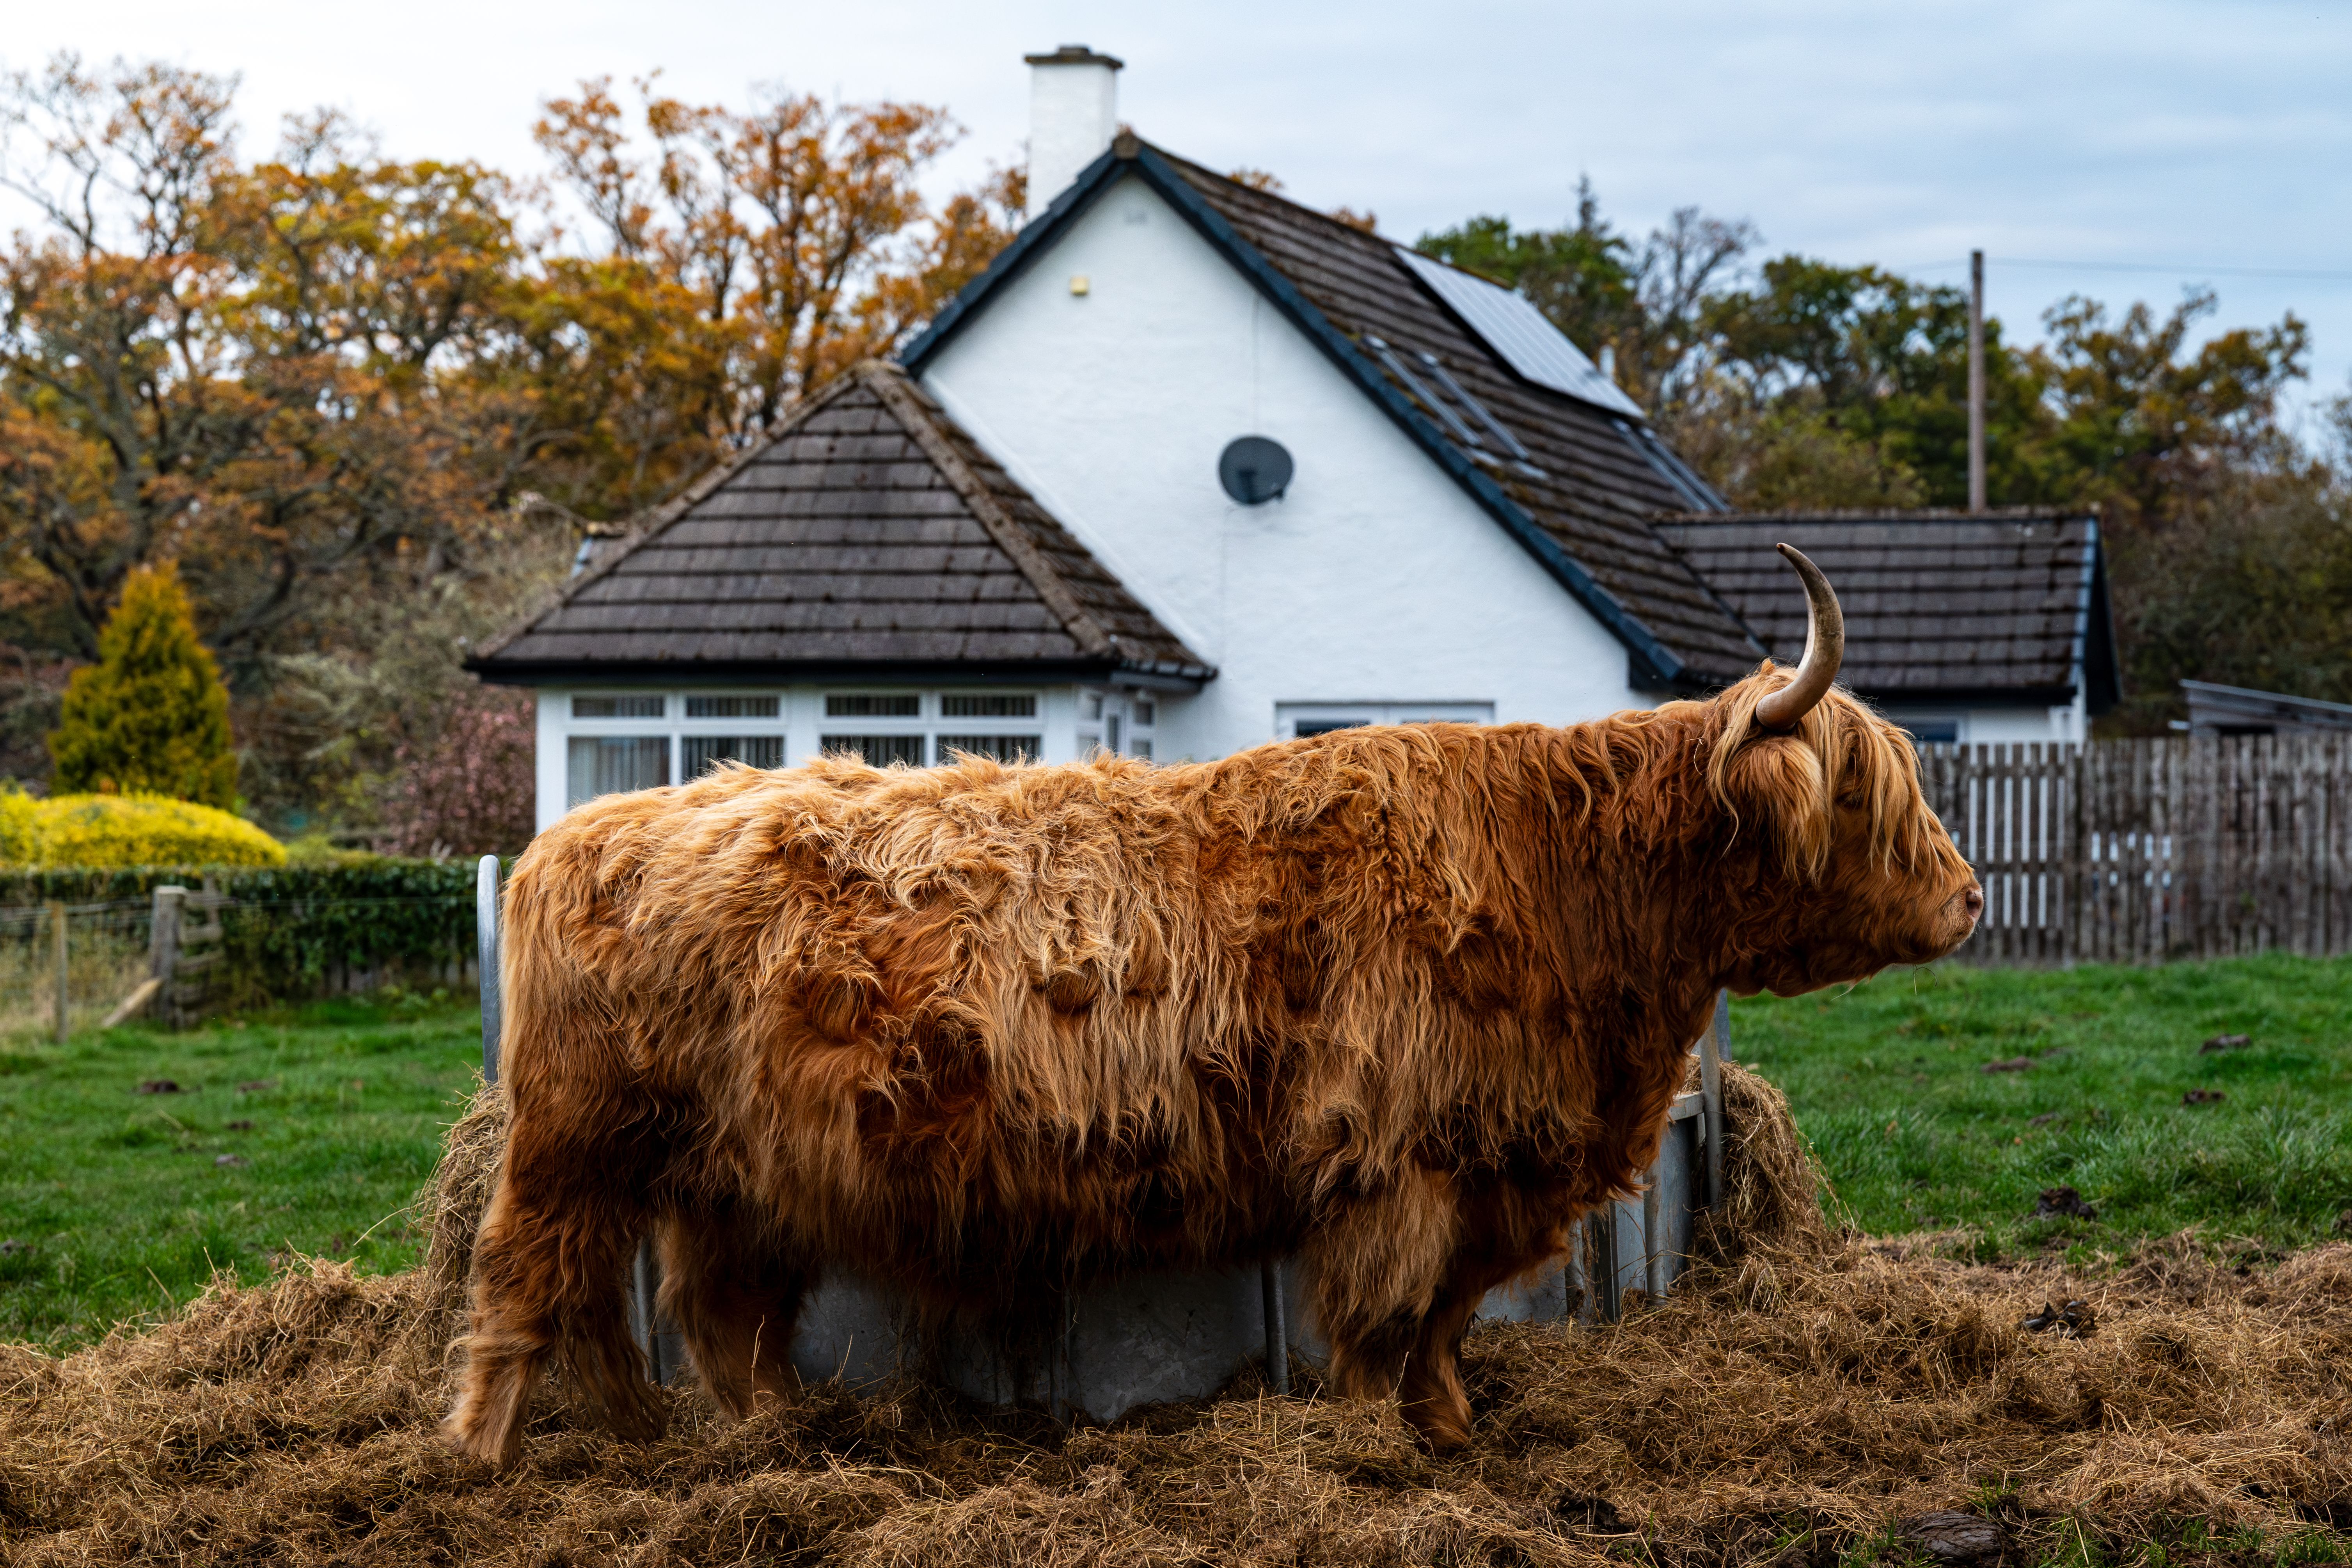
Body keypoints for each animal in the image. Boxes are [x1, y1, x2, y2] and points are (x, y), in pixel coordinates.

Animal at [445, 546, 1981, 1467]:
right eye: (1869, 794)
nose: (1967, 899)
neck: (1563, 883)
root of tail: (578, 829)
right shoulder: (1396, 1160)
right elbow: (1381, 1317)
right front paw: (1375, 1454)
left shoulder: (1488, 1159)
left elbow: (1445, 1320)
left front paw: (1450, 1434)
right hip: (577, 1138)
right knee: (529, 1275)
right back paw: (487, 1454)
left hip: (728, 1163)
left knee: (695, 1305)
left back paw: (727, 1440)